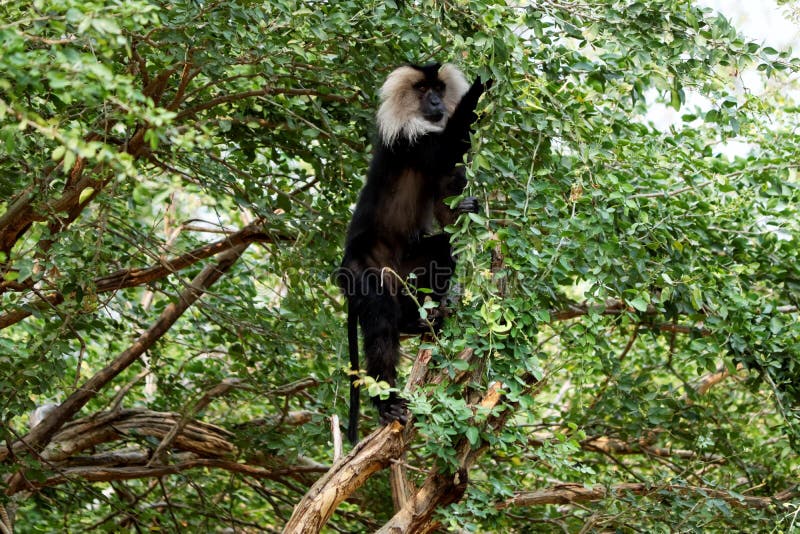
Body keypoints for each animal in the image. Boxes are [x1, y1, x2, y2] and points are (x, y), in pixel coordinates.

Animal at [338, 63, 490, 443]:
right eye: (422, 89)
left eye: (439, 88)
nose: (436, 101)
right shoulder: (410, 141)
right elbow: (451, 143)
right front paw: (485, 81)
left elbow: (446, 205)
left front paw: (466, 207)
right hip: (366, 272)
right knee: (380, 325)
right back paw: (387, 403)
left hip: (405, 268)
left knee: (442, 254)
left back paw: (418, 320)